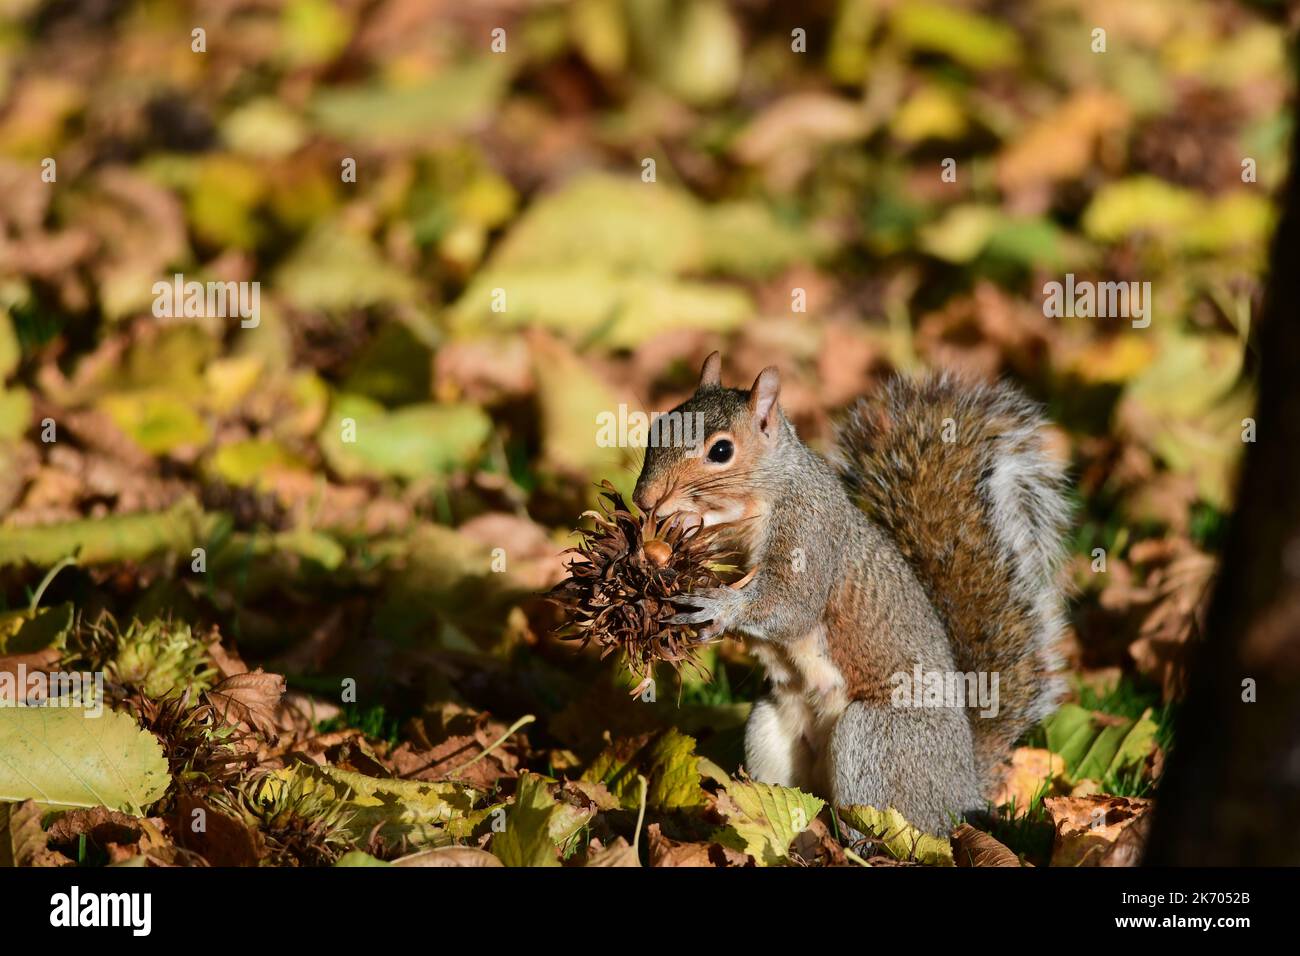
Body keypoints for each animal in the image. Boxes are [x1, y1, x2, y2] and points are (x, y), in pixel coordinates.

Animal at [632, 351, 1070, 833]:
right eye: (657, 427)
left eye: (721, 451)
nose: (644, 499)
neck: (764, 495)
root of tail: (963, 793)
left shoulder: (809, 532)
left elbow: (792, 605)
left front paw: (720, 605)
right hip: (770, 729)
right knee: (794, 797)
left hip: (876, 740)